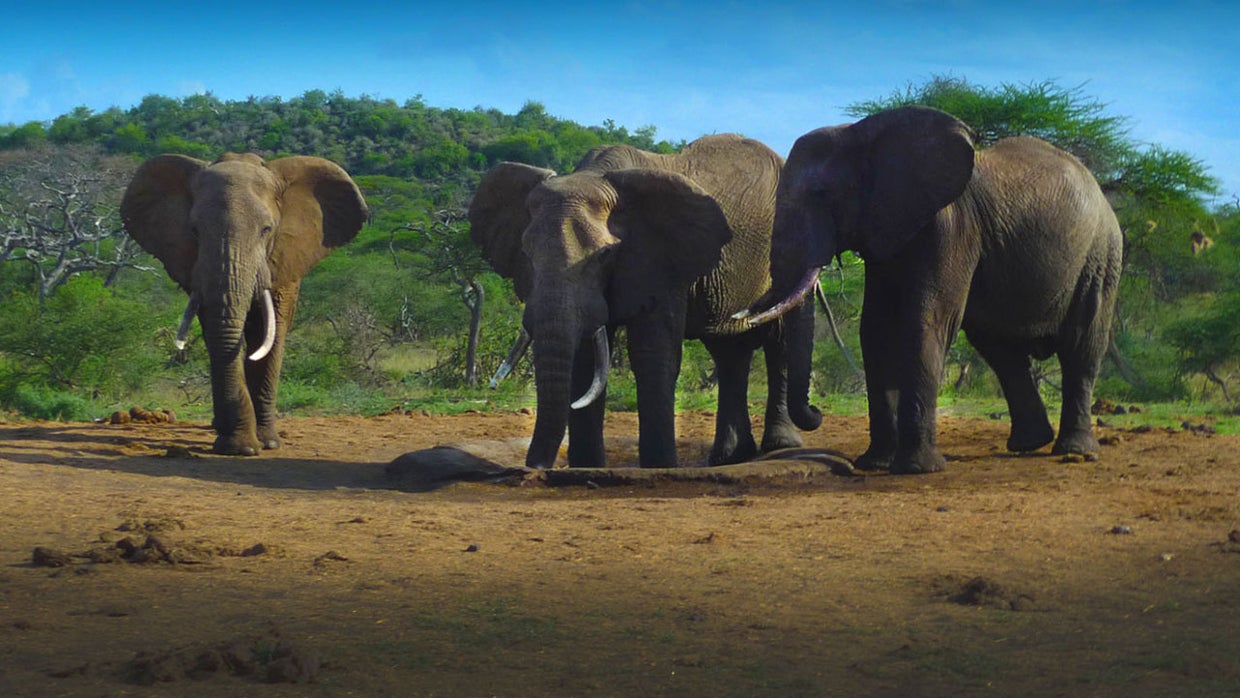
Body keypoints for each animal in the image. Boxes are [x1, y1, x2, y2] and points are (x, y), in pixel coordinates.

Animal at [122, 153, 368, 455]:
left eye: (266, 230)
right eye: (195, 231)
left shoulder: (281, 259)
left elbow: (268, 332)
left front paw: (266, 443)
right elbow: (219, 331)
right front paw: (240, 448)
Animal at [469, 134, 822, 470]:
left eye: (605, 256)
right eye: (526, 254)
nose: (537, 466)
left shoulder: (662, 259)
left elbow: (653, 351)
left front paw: (659, 466)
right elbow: (586, 357)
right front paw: (587, 467)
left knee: (779, 341)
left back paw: (780, 445)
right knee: (728, 350)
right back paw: (730, 456)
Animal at [751, 105, 1123, 474]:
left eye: (821, 194)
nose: (816, 412)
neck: (861, 134)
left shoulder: (950, 224)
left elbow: (926, 320)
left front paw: (916, 468)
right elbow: (875, 328)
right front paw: (874, 463)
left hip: (1100, 254)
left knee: (1081, 344)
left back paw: (1073, 448)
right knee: (999, 348)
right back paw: (1029, 443)